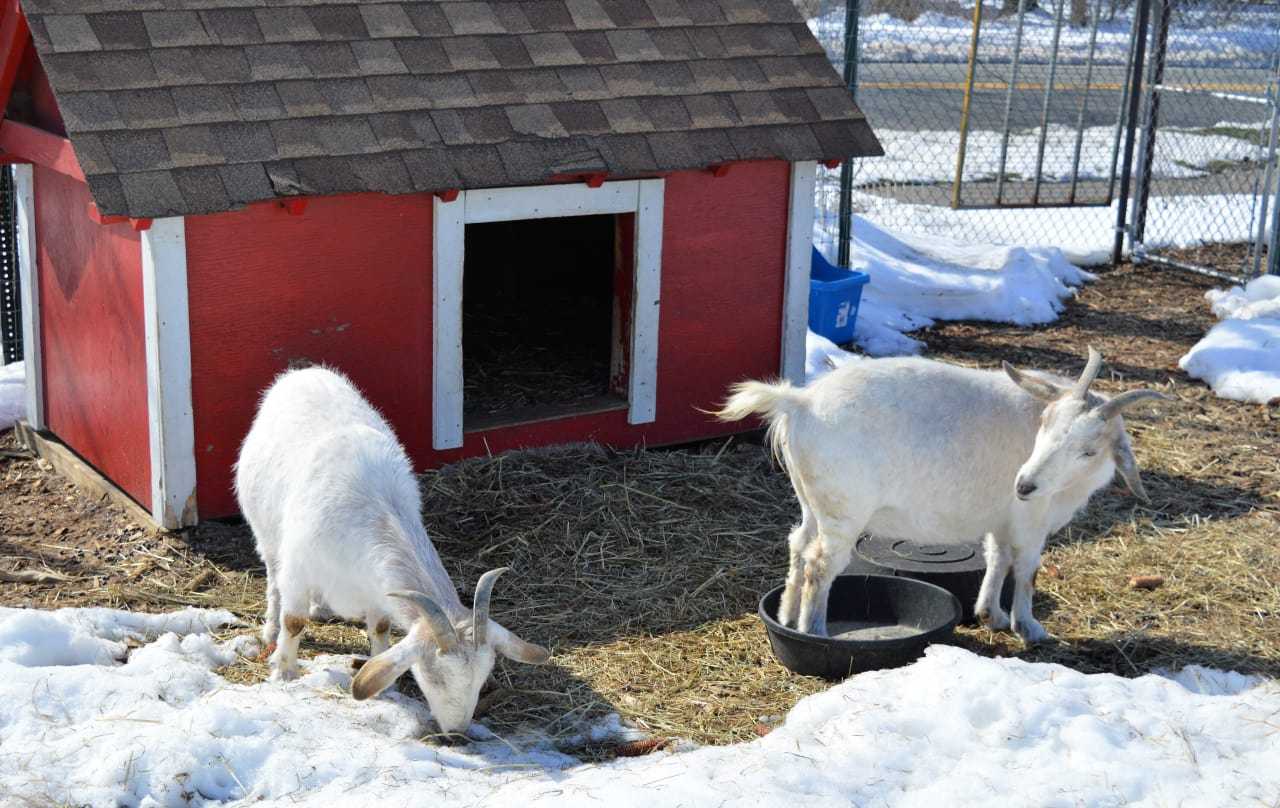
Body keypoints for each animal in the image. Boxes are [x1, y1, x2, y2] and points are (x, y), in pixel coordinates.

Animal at [235, 366, 550, 734]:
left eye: (483, 676)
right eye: (435, 676)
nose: (456, 732)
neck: (372, 508)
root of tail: (304, 372)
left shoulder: (375, 590)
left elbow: (381, 627)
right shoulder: (299, 570)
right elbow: (295, 621)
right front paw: (284, 672)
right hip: (266, 532)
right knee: (273, 578)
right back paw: (271, 630)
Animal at [715, 348, 1171, 643]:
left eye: (1089, 450)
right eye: (1044, 423)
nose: (1024, 484)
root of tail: (800, 402)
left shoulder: (1003, 517)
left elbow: (998, 558)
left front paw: (991, 614)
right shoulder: (1030, 518)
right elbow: (1026, 569)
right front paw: (1030, 628)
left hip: (814, 501)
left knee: (798, 545)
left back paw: (787, 615)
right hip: (845, 510)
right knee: (819, 565)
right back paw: (815, 630)